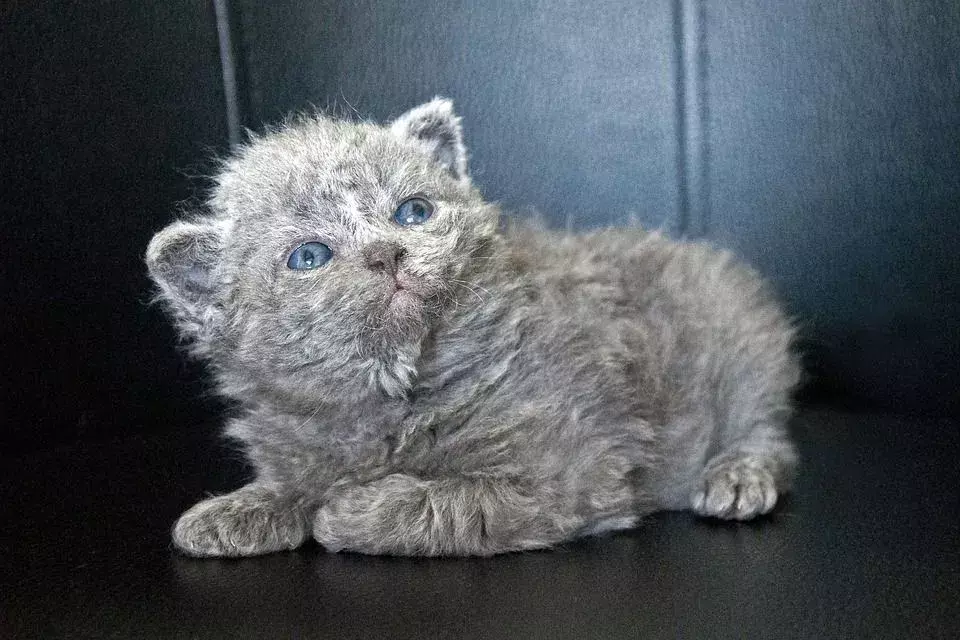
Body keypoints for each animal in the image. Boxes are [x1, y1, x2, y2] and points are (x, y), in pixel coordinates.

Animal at [146, 97, 800, 556]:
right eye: (309, 257)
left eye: (413, 211)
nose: (386, 253)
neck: (400, 393)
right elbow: (289, 481)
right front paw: (235, 510)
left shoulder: (575, 474)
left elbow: (457, 501)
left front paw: (350, 512)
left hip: (743, 351)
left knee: (769, 433)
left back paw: (738, 476)